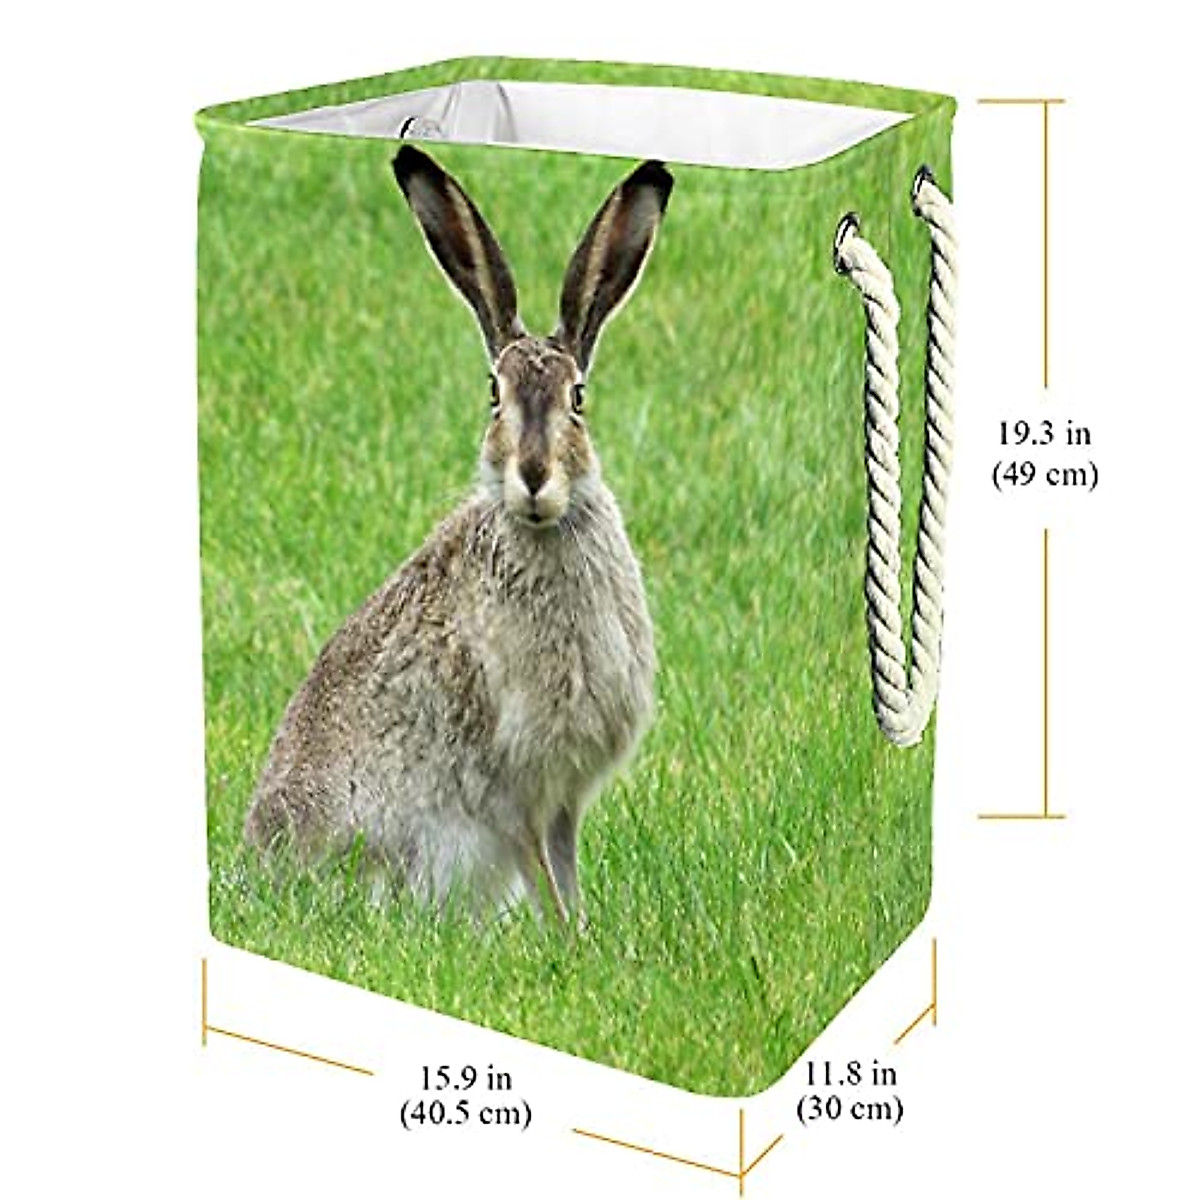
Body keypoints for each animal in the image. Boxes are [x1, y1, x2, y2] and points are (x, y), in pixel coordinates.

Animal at [244, 145, 673, 926]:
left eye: (578, 400)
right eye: (494, 395)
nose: (532, 476)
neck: (543, 530)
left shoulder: (562, 796)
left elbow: (565, 867)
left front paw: (585, 935)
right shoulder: (513, 784)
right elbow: (540, 867)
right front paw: (566, 940)